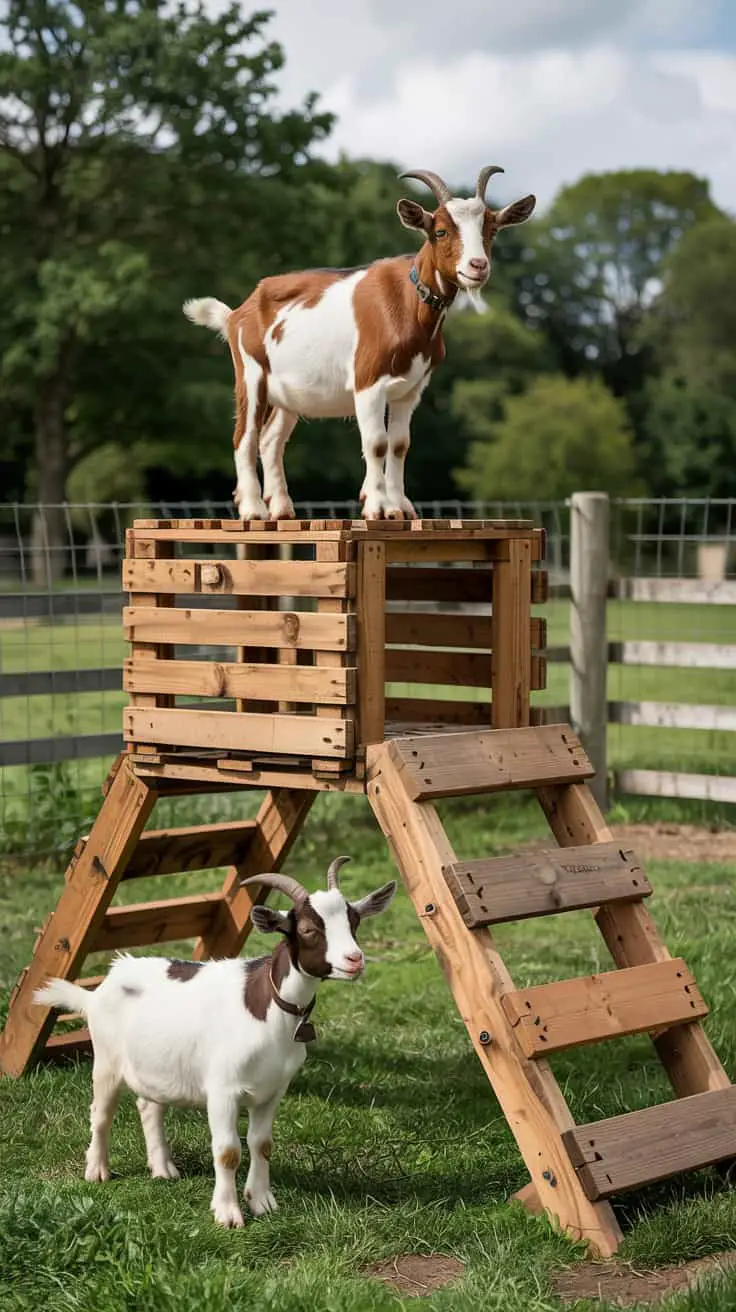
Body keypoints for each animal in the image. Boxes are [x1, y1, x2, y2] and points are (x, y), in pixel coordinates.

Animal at [34, 858, 396, 1228]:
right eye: (309, 929)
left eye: (354, 923)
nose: (355, 959)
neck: (269, 1009)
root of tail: (102, 985)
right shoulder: (223, 1089)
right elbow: (227, 1151)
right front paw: (228, 1213)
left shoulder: (273, 1090)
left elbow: (261, 1144)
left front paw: (262, 1201)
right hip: (106, 1059)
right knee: (101, 1112)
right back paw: (97, 1170)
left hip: (157, 1063)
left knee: (149, 1106)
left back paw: (163, 1168)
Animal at [183, 164, 535, 522]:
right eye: (440, 231)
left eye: (492, 230)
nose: (477, 266)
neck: (408, 303)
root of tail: (237, 312)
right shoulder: (369, 381)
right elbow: (376, 442)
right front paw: (378, 506)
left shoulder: (411, 389)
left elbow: (399, 444)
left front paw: (401, 507)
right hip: (251, 374)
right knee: (245, 435)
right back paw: (254, 510)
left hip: (288, 395)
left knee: (271, 440)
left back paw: (282, 509)